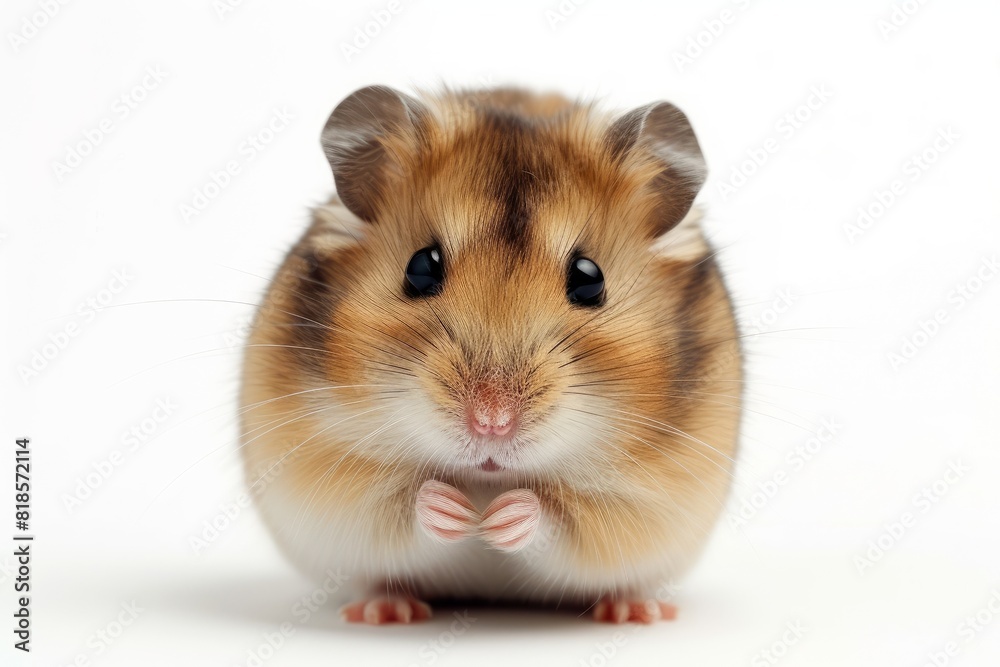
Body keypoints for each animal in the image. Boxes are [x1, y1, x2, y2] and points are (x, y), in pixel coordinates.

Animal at [239, 86, 742, 625]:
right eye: (420, 268)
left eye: (590, 279)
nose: (491, 423)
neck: (484, 482)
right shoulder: (326, 477)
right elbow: (401, 509)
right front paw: (455, 512)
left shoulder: (647, 500)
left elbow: (561, 520)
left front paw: (502, 517)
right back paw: (384, 611)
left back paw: (636, 611)